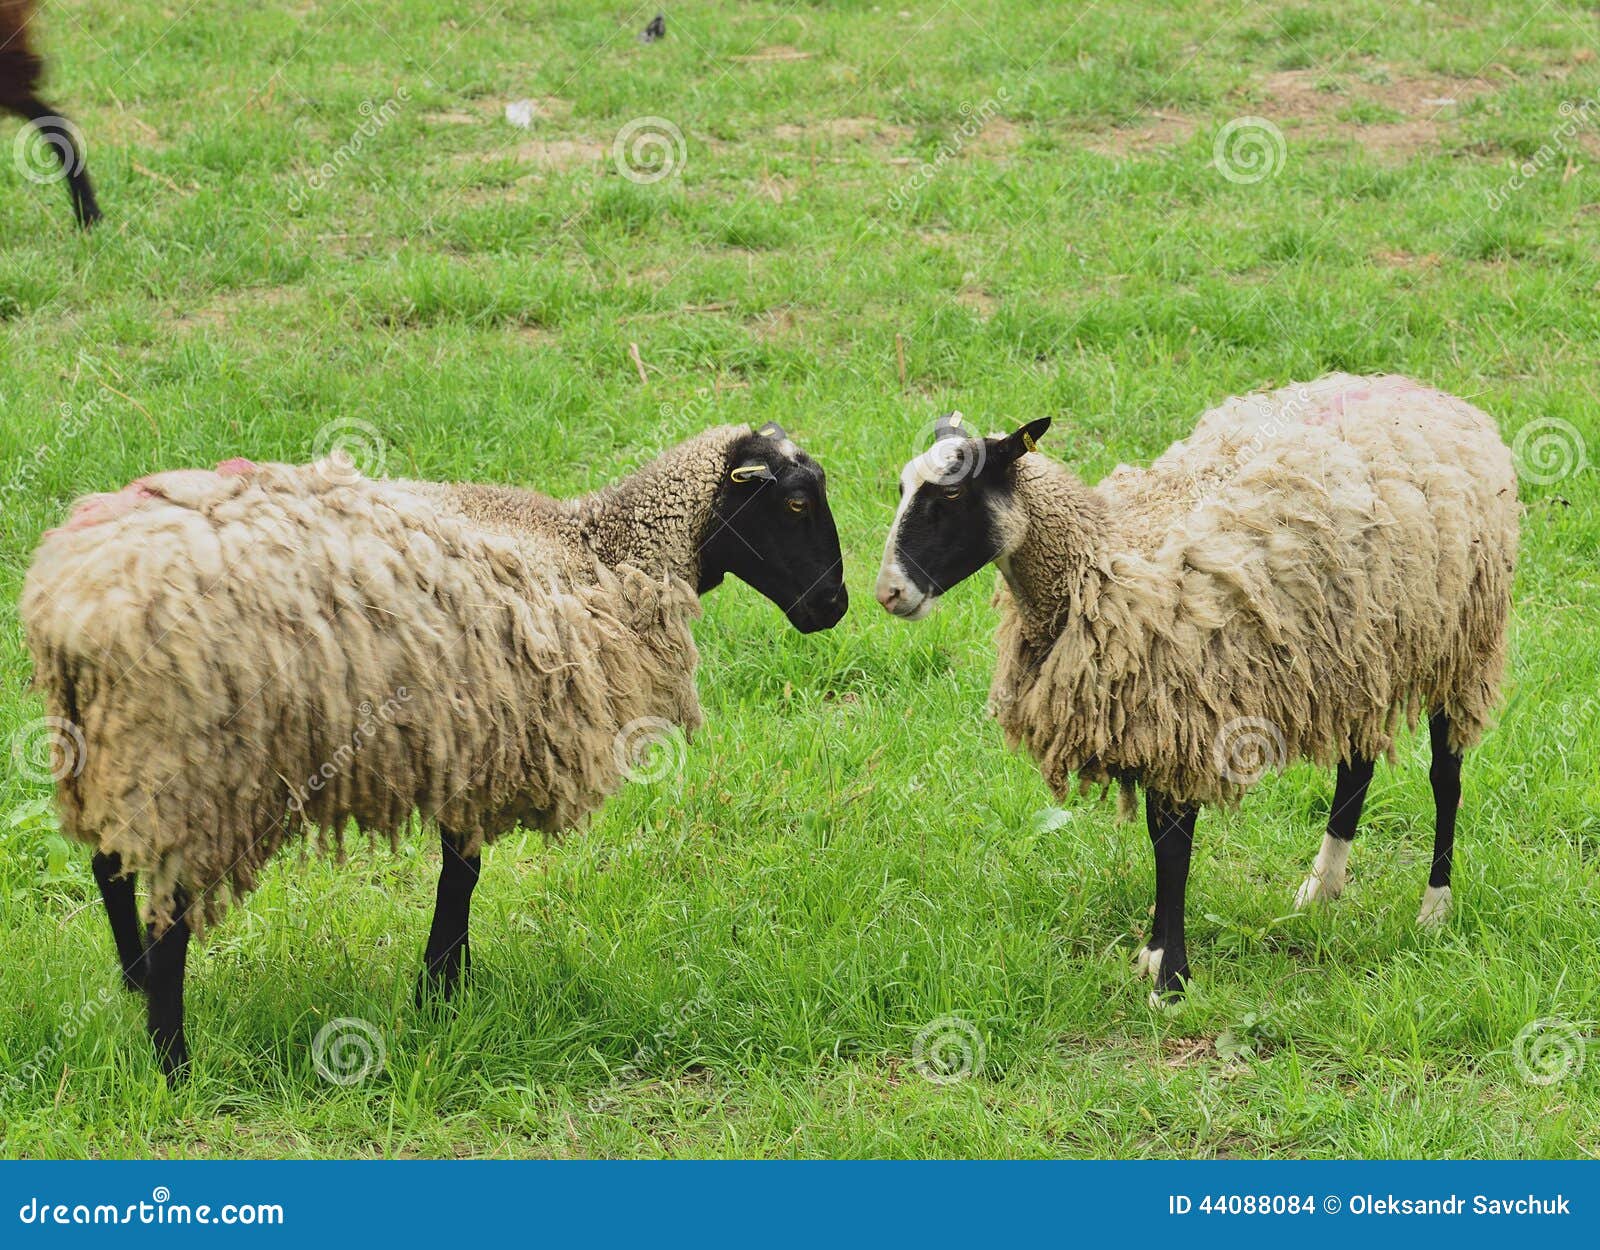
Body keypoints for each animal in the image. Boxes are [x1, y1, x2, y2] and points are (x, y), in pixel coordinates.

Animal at [21, 423, 847, 1079]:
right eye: (796, 505)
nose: (834, 606)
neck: (603, 550)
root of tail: (73, 601)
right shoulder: (491, 741)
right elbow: (463, 875)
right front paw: (440, 988)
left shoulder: (473, 746)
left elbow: (462, 872)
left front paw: (449, 987)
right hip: (191, 769)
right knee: (167, 917)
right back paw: (174, 1067)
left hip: (109, 751)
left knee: (108, 867)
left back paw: (132, 988)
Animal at [875, 375, 1519, 1004]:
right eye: (904, 488)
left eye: (952, 496)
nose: (887, 593)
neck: (1098, 561)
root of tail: (1435, 395)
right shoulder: (1153, 723)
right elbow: (1161, 838)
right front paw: (1156, 952)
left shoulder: (1183, 713)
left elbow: (1173, 846)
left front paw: (1171, 980)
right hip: (1359, 657)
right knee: (1356, 769)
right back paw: (1321, 888)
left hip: (1463, 644)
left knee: (1445, 777)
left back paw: (1435, 907)